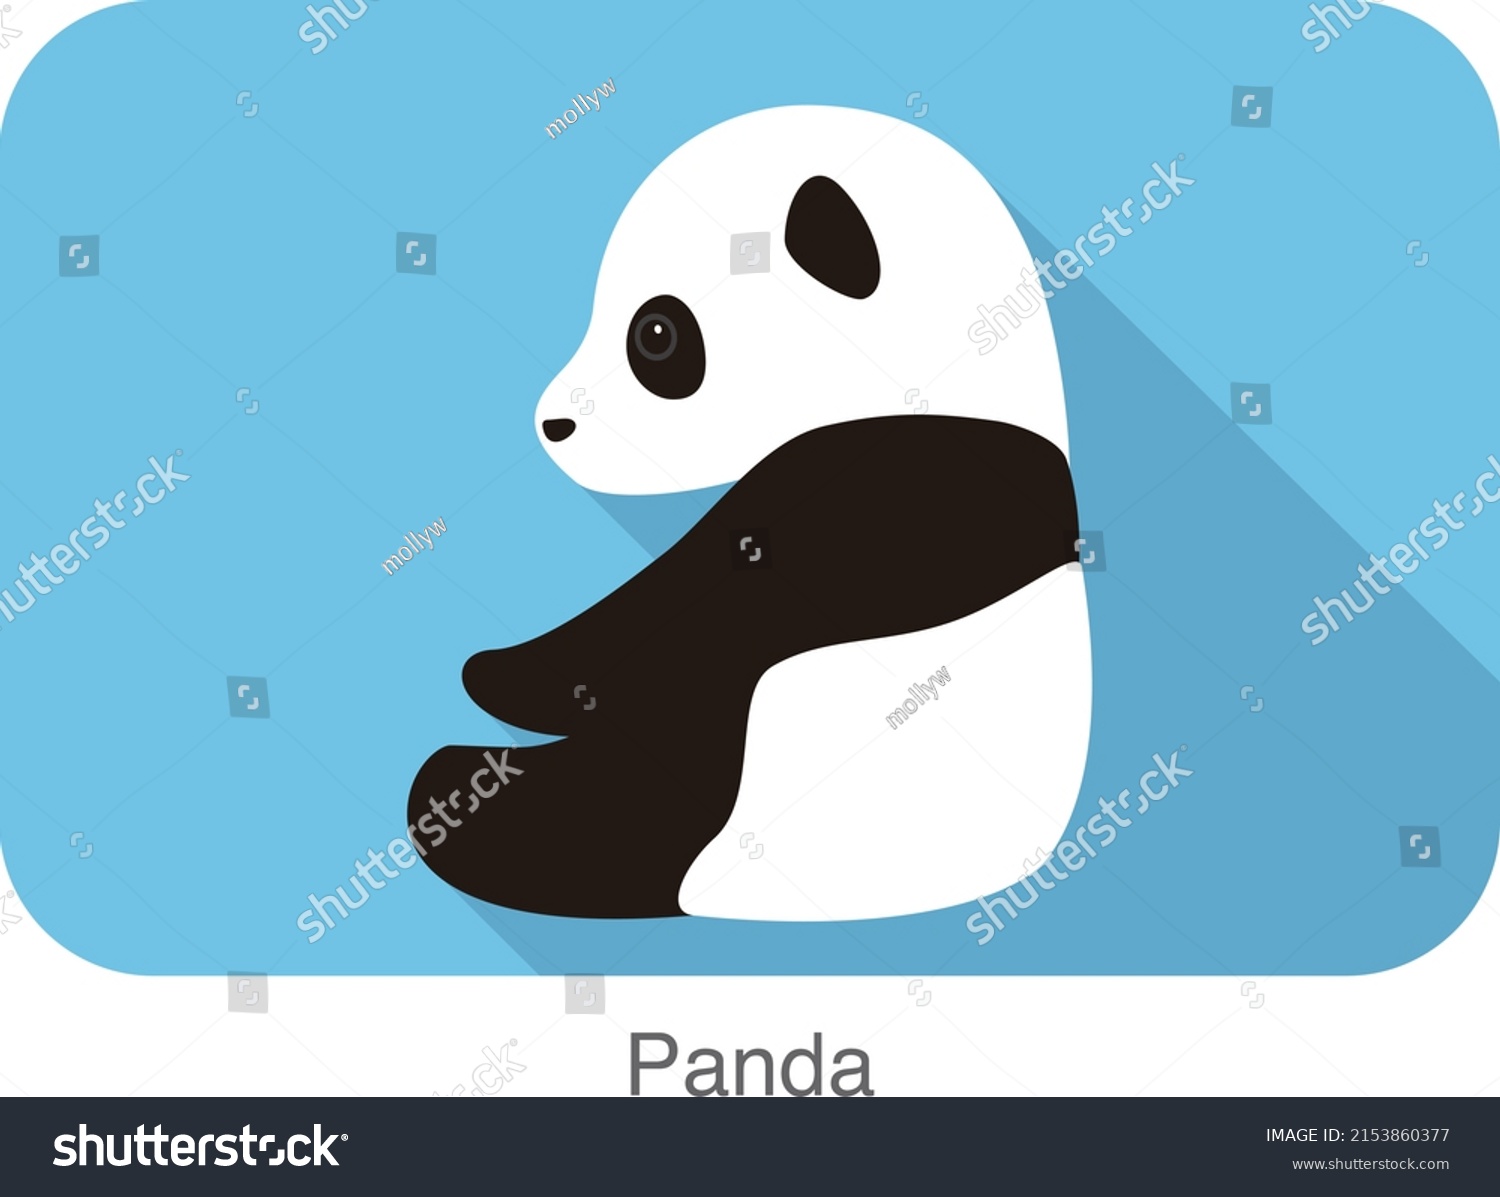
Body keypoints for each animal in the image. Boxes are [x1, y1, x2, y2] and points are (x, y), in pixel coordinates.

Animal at [409, 105, 1092, 923]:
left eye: (657, 335)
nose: (553, 425)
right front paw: (503, 674)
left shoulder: (903, 483)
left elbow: (694, 603)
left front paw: (500, 682)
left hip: (724, 778)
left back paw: (463, 796)